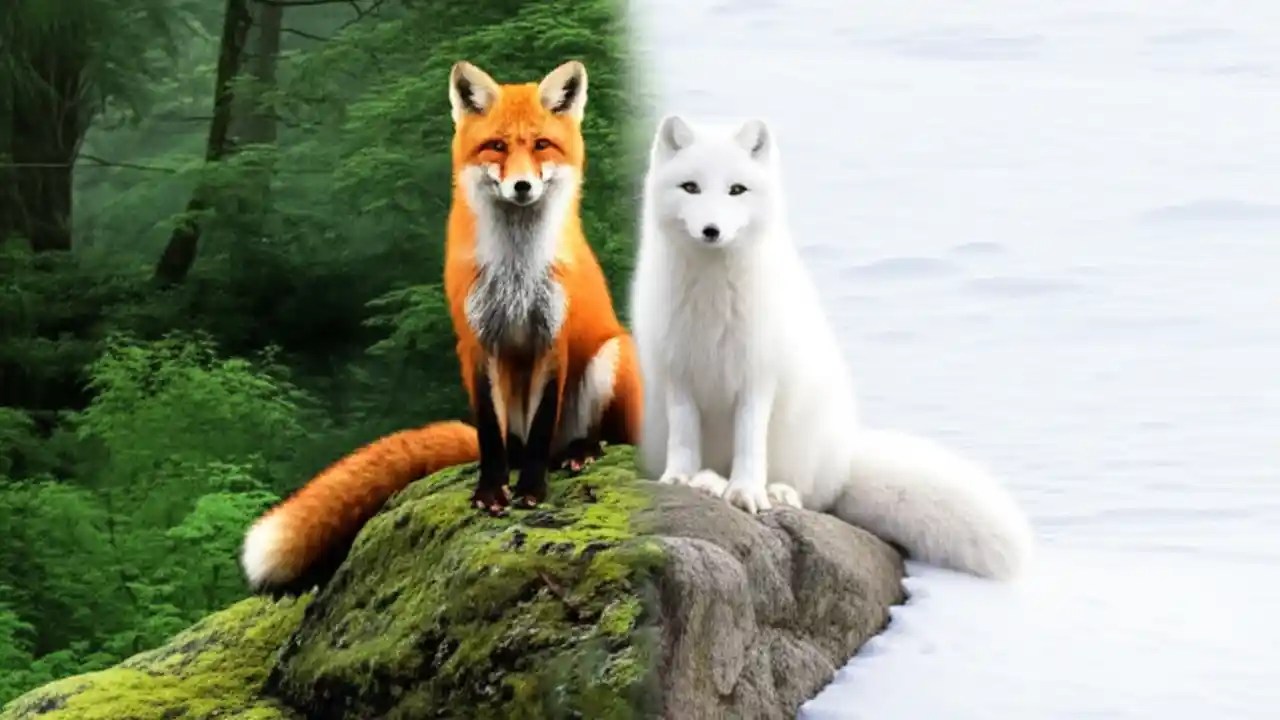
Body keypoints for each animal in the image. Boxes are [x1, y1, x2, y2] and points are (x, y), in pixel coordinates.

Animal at [239, 60, 642, 595]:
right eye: (496, 146)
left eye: (541, 145)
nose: (521, 188)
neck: (516, 270)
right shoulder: (475, 342)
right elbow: (489, 433)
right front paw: (491, 492)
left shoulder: (551, 340)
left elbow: (540, 431)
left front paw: (532, 491)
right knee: (509, 443)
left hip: (613, 355)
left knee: (585, 437)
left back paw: (581, 450)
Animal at [630, 114, 1034, 580]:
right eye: (690, 187)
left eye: (737, 189)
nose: (712, 230)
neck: (712, 298)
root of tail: (845, 461)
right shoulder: (676, 371)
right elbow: (684, 439)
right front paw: (679, 480)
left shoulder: (758, 376)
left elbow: (750, 444)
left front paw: (747, 492)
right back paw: (708, 482)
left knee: (812, 496)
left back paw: (778, 492)